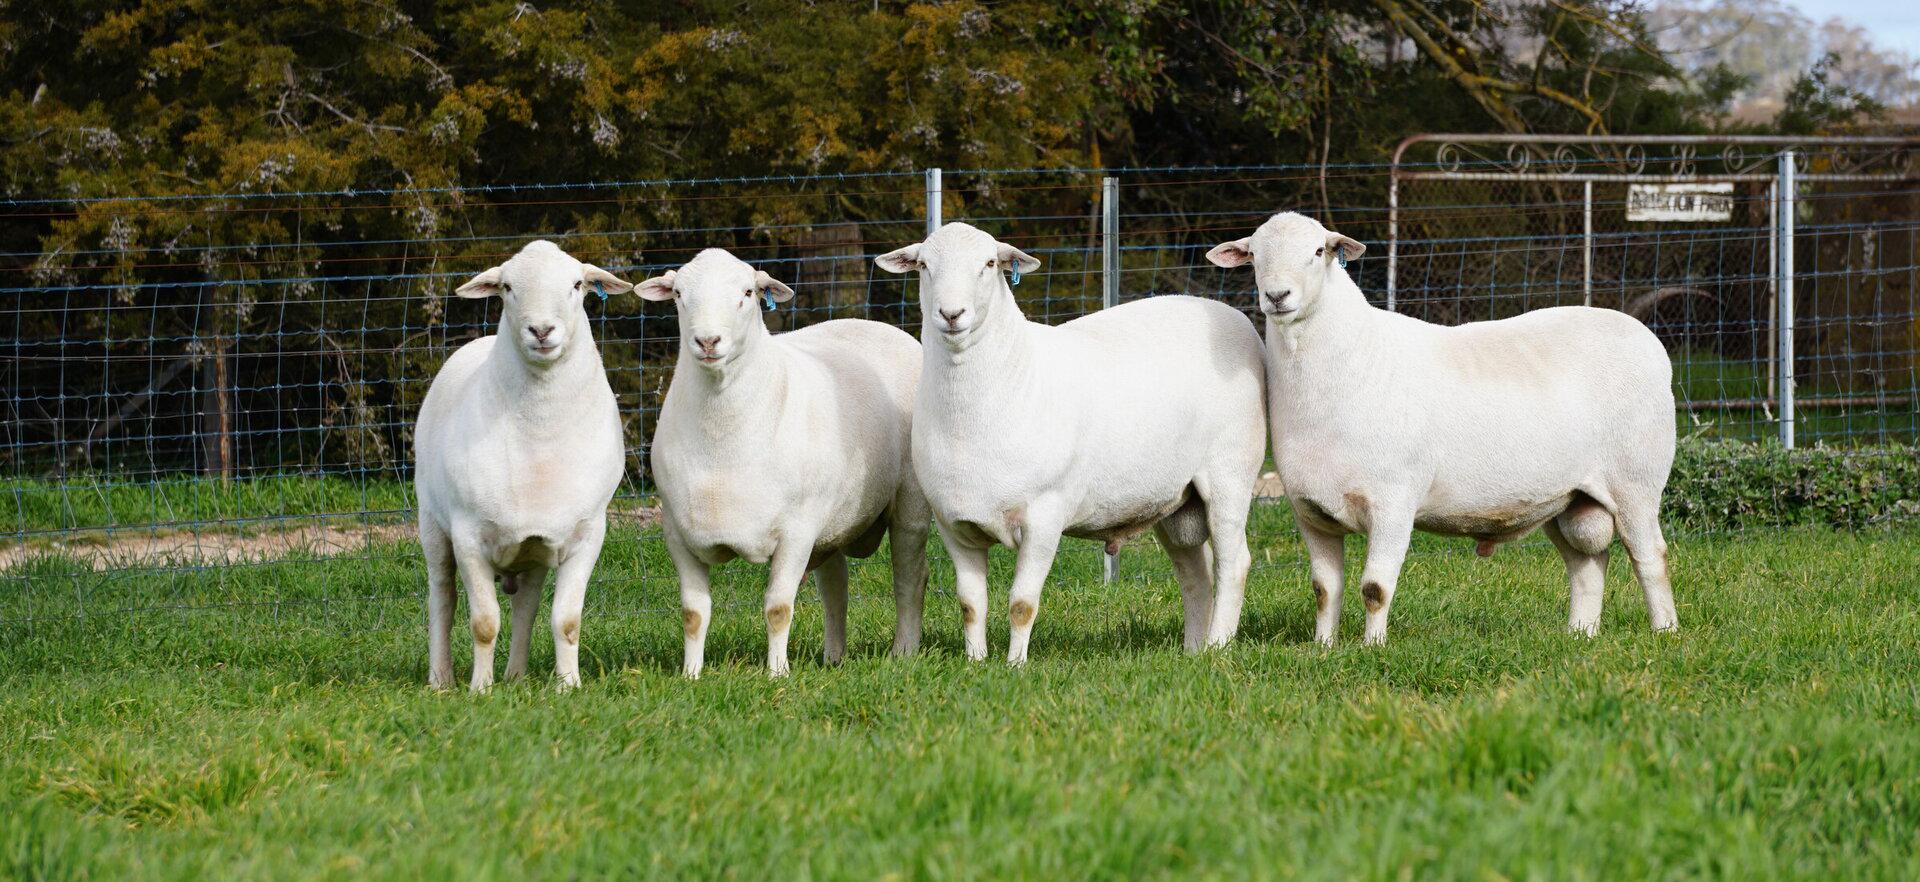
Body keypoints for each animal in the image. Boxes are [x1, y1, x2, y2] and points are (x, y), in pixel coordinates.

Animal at [415, 240, 633, 692]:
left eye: (577, 284)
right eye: (507, 287)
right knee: (441, 598)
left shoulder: (588, 533)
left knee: (526, 607)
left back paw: (516, 677)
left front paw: (569, 686)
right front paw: (480, 689)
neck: (540, 437)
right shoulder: (468, 534)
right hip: (432, 523)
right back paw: (441, 680)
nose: (542, 331)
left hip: (532, 549)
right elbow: (483, 622)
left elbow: (566, 621)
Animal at [642, 248, 931, 678]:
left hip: (907, 503)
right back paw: (834, 657)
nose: (708, 341)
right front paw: (690, 675)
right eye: (678, 293)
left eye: (748, 292)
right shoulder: (678, 534)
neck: (721, 440)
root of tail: (875, 324)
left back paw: (904, 652)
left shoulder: (796, 531)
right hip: (831, 522)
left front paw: (777, 673)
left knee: (909, 578)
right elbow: (693, 613)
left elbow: (778, 607)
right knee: (836, 586)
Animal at [875, 222, 1267, 665]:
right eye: (924, 265)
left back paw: (1218, 647)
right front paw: (976, 663)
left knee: (1233, 564)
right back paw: (1193, 652)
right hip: (1176, 500)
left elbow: (1022, 604)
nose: (951, 315)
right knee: (1194, 573)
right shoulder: (954, 524)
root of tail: (1232, 315)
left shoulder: (1044, 516)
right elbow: (971, 604)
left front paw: (1014, 665)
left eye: (990, 263)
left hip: (1229, 475)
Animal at [1206, 211, 1679, 645]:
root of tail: (1644, 335)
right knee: (1586, 565)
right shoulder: (1310, 510)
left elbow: (1375, 589)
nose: (1277, 295)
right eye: (1254, 256)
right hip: (1569, 497)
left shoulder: (1393, 501)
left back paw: (1665, 632)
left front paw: (1372, 649)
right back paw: (1581, 635)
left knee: (1650, 557)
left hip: (1635, 481)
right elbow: (1324, 590)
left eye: (1319, 251)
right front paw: (1323, 650)